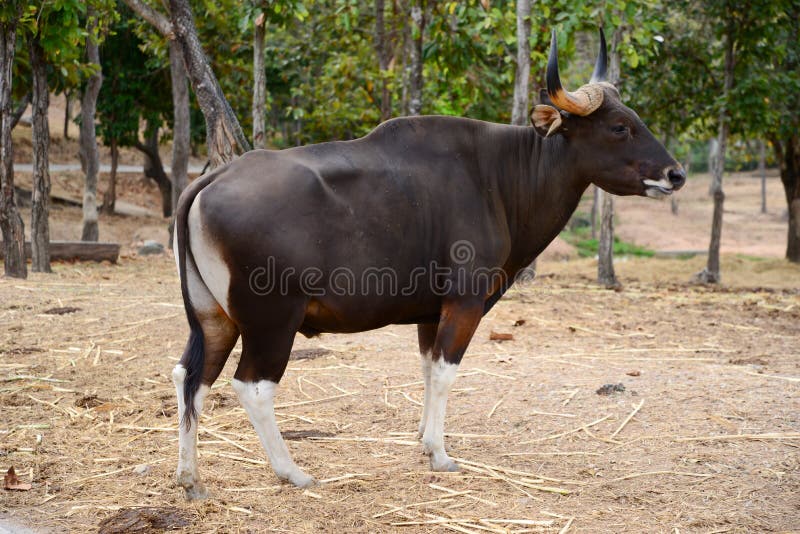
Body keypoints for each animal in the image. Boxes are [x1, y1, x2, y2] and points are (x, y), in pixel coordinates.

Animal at [171, 29, 685, 499]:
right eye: (619, 127)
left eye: (635, 119)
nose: (675, 173)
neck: (502, 177)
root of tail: (209, 181)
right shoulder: (465, 302)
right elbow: (445, 370)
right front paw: (439, 452)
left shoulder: (429, 313)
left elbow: (425, 366)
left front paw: (422, 438)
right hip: (272, 321)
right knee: (252, 386)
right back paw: (291, 471)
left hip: (213, 318)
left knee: (190, 378)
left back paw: (190, 478)